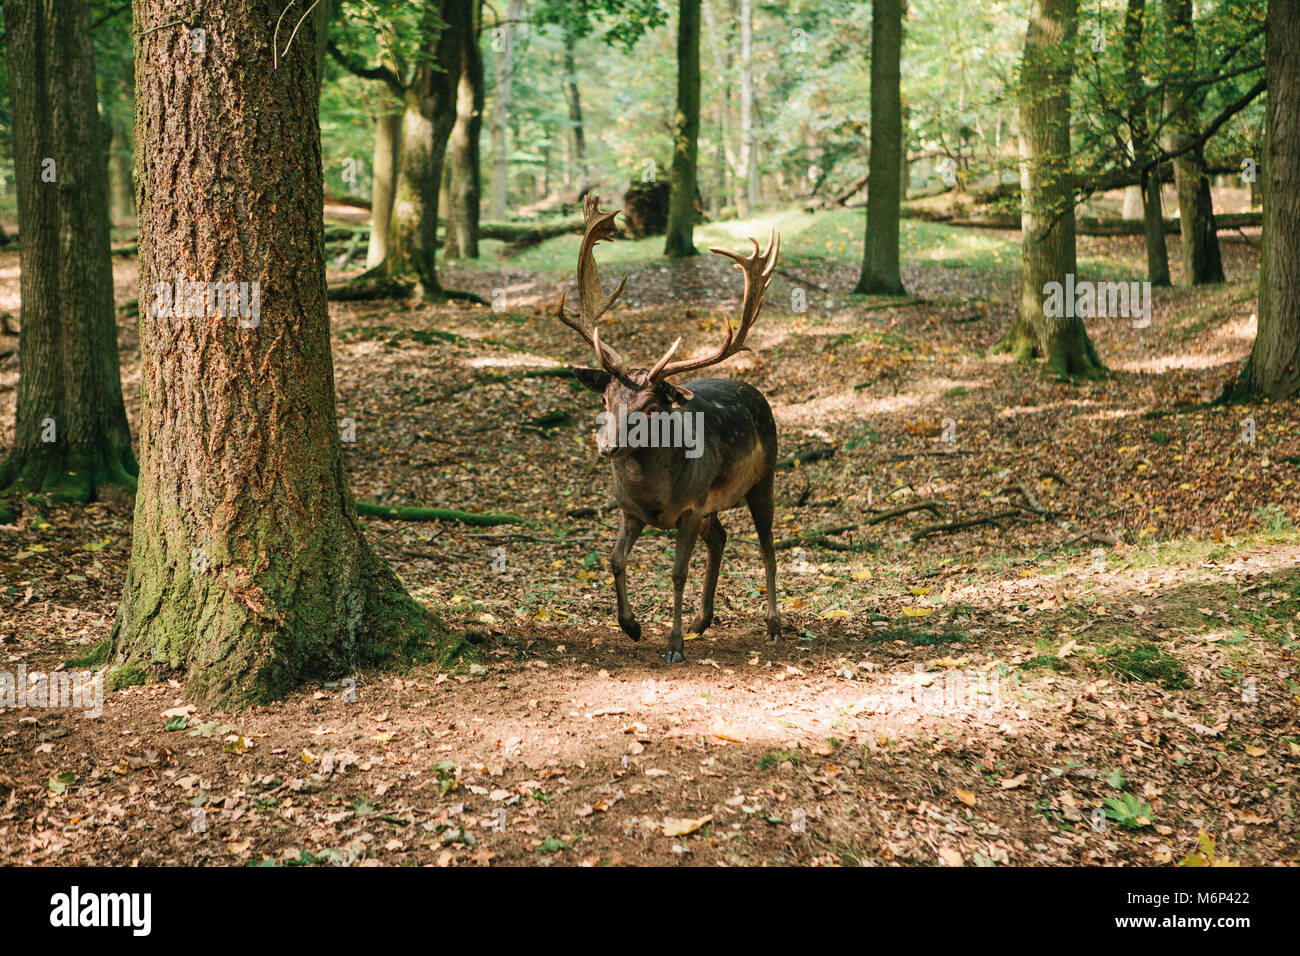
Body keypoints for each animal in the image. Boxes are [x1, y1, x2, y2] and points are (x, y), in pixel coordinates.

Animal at [561, 194, 782, 663]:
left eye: (649, 406)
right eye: (605, 400)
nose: (607, 447)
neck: (656, 497)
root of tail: (754, 389)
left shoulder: (690, 507)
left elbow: (677, 572)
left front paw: (674, 645)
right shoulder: (630, 510)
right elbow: (615, 559)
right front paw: (631, 626)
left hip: (764, 477)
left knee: (768, 545)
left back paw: (773, 624)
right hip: (716, 500)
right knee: (721, 537)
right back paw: (702, 620)